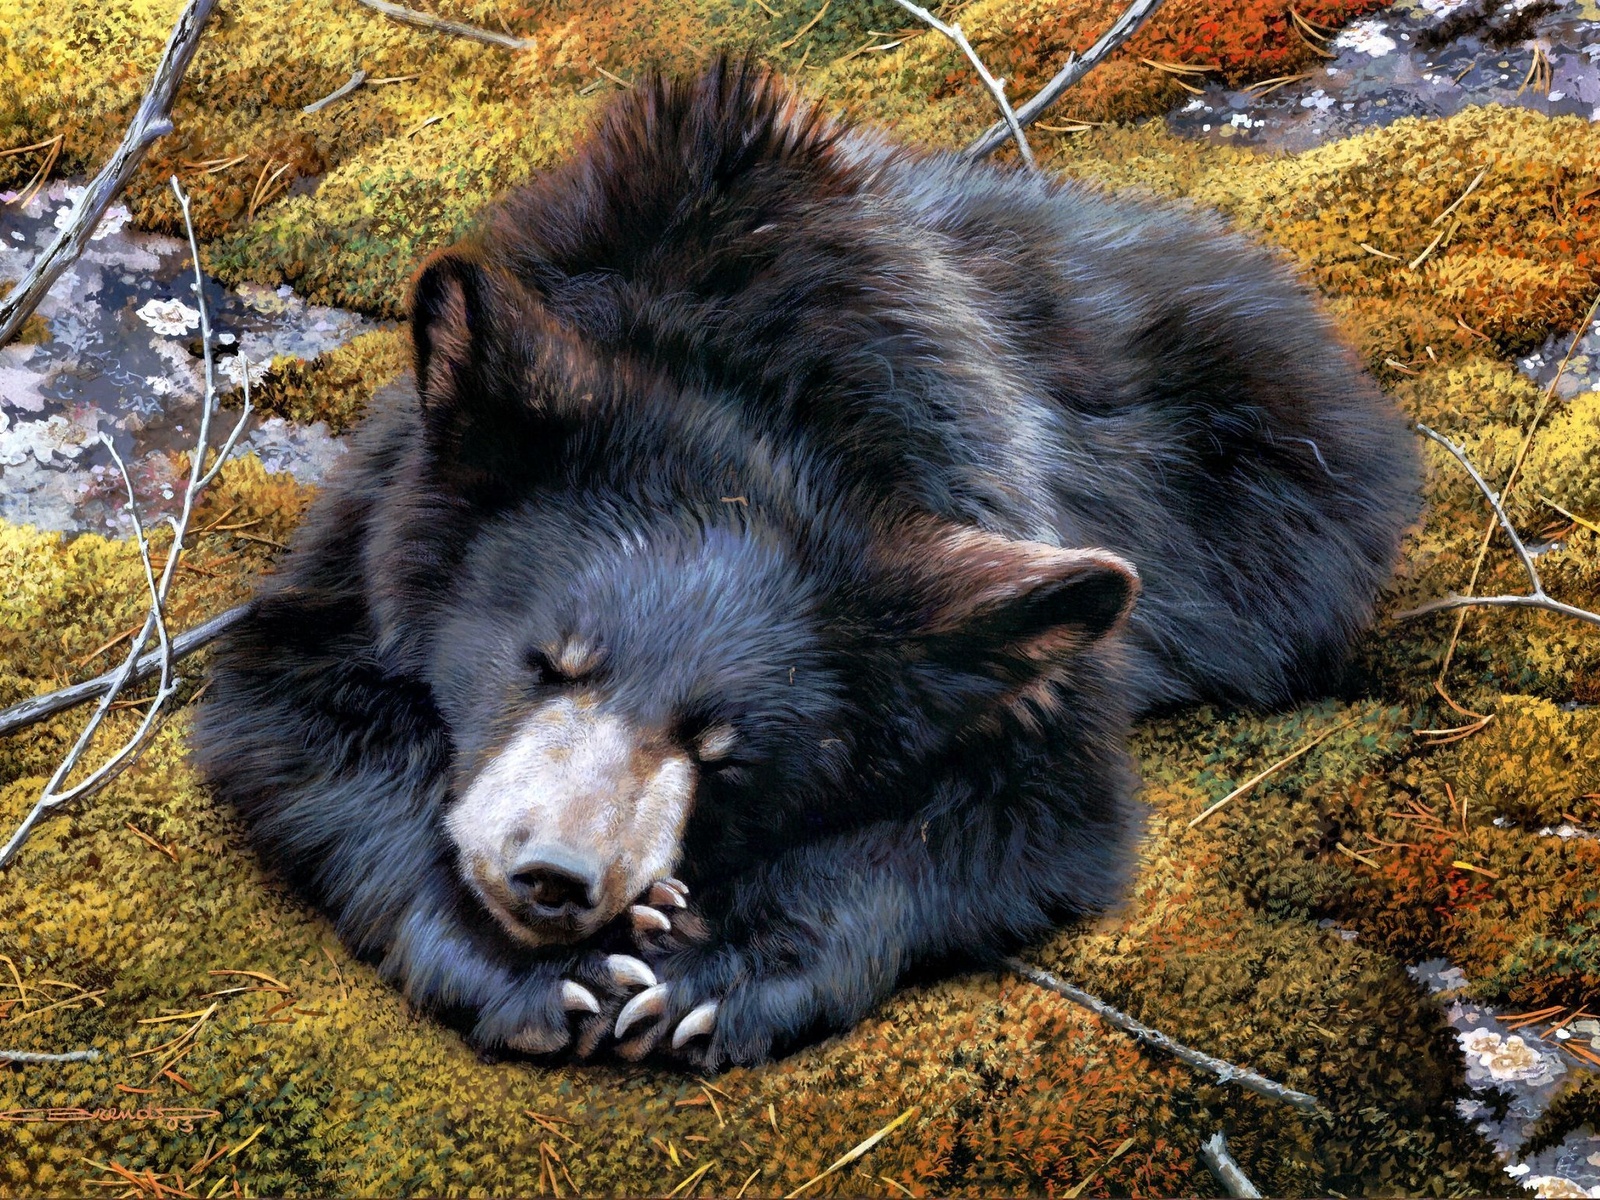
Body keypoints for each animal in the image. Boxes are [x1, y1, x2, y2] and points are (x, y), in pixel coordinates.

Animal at [192, 58, 1419, 1071]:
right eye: (547, 660)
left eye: (722, 751)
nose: (555, 877)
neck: (756, 396)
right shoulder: (371, 526)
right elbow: (294, 721)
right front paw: (548, 975)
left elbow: (1031, 810)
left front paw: (710, 967)